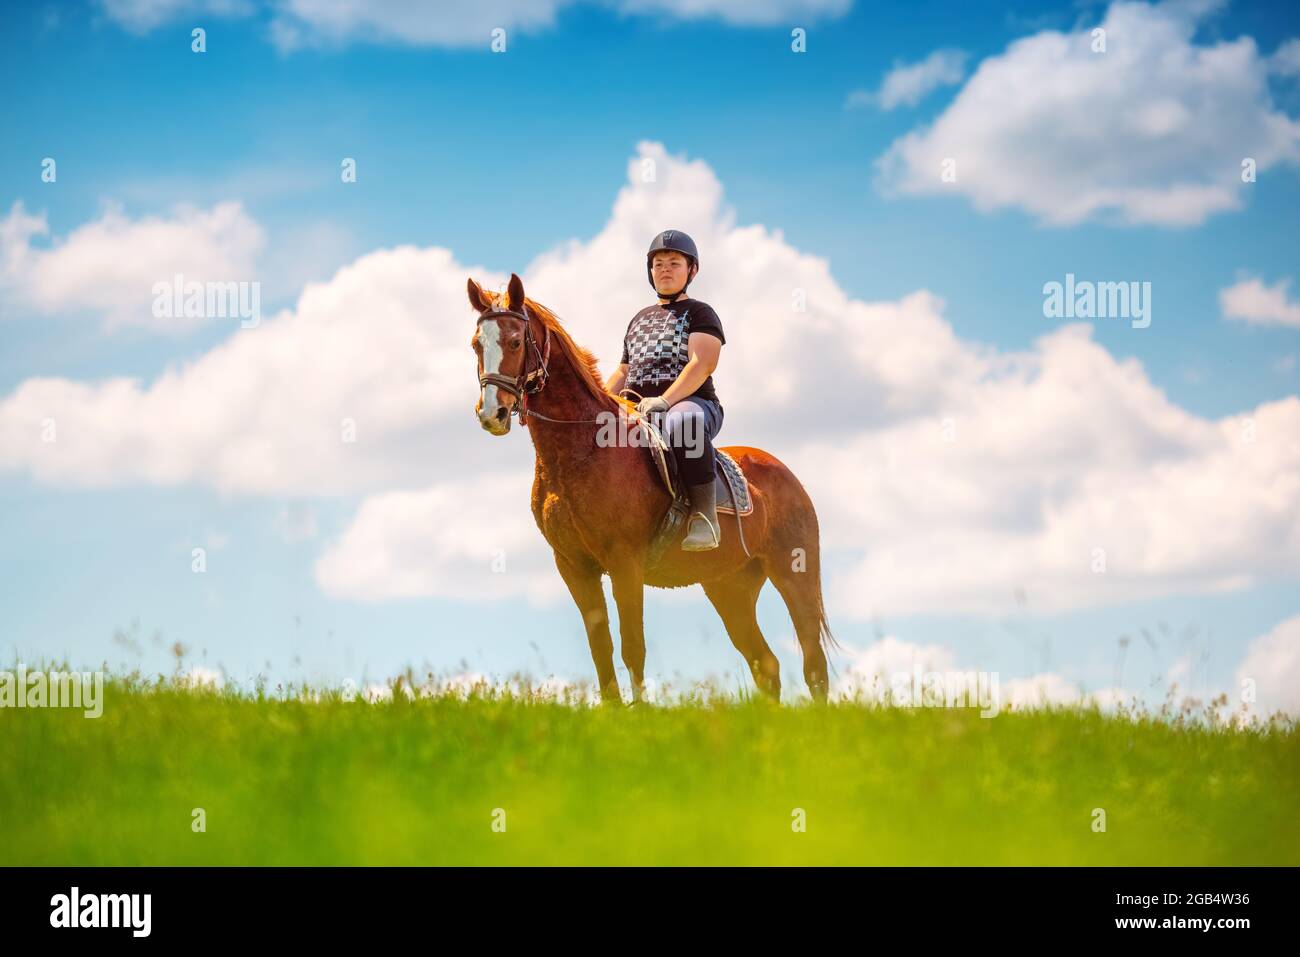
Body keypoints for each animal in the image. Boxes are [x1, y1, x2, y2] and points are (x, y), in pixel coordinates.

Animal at [469, 273, 842, 705]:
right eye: (476, 344)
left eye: (515, 341)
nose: (491, 414)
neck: (582, 449)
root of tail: (787, 475)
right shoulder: (574, 566)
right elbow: (601, 649)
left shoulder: (624, 562)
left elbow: (633, 646)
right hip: (729, 586)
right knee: (766, 665)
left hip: (794, 574)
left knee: (813, 665)